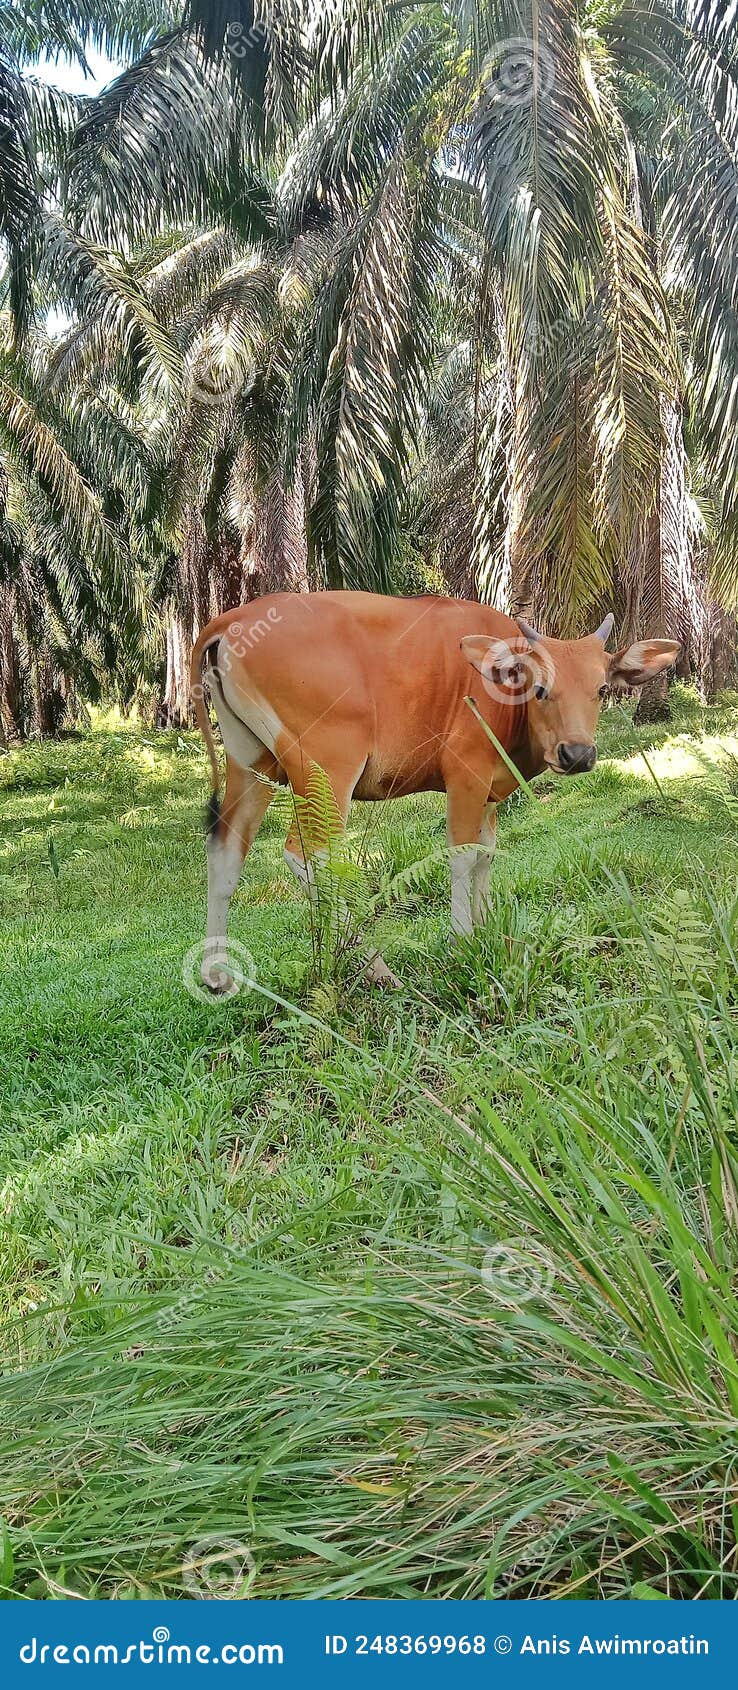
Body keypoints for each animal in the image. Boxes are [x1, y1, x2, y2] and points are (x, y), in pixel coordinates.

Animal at [191, 593, 680, 989]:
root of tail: (232, 620)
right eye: (541, 688)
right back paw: (376, 967)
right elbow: (461, 856)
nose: (577, 753)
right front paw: (462, 941)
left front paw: (487, 931)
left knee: (226, 847)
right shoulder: (465, 776)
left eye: (602, 688)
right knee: (307, 853)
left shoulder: (490, 792)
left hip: (251, 765)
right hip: (327, 769)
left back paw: (216, 973)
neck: (498, 688)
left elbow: (486, 854)